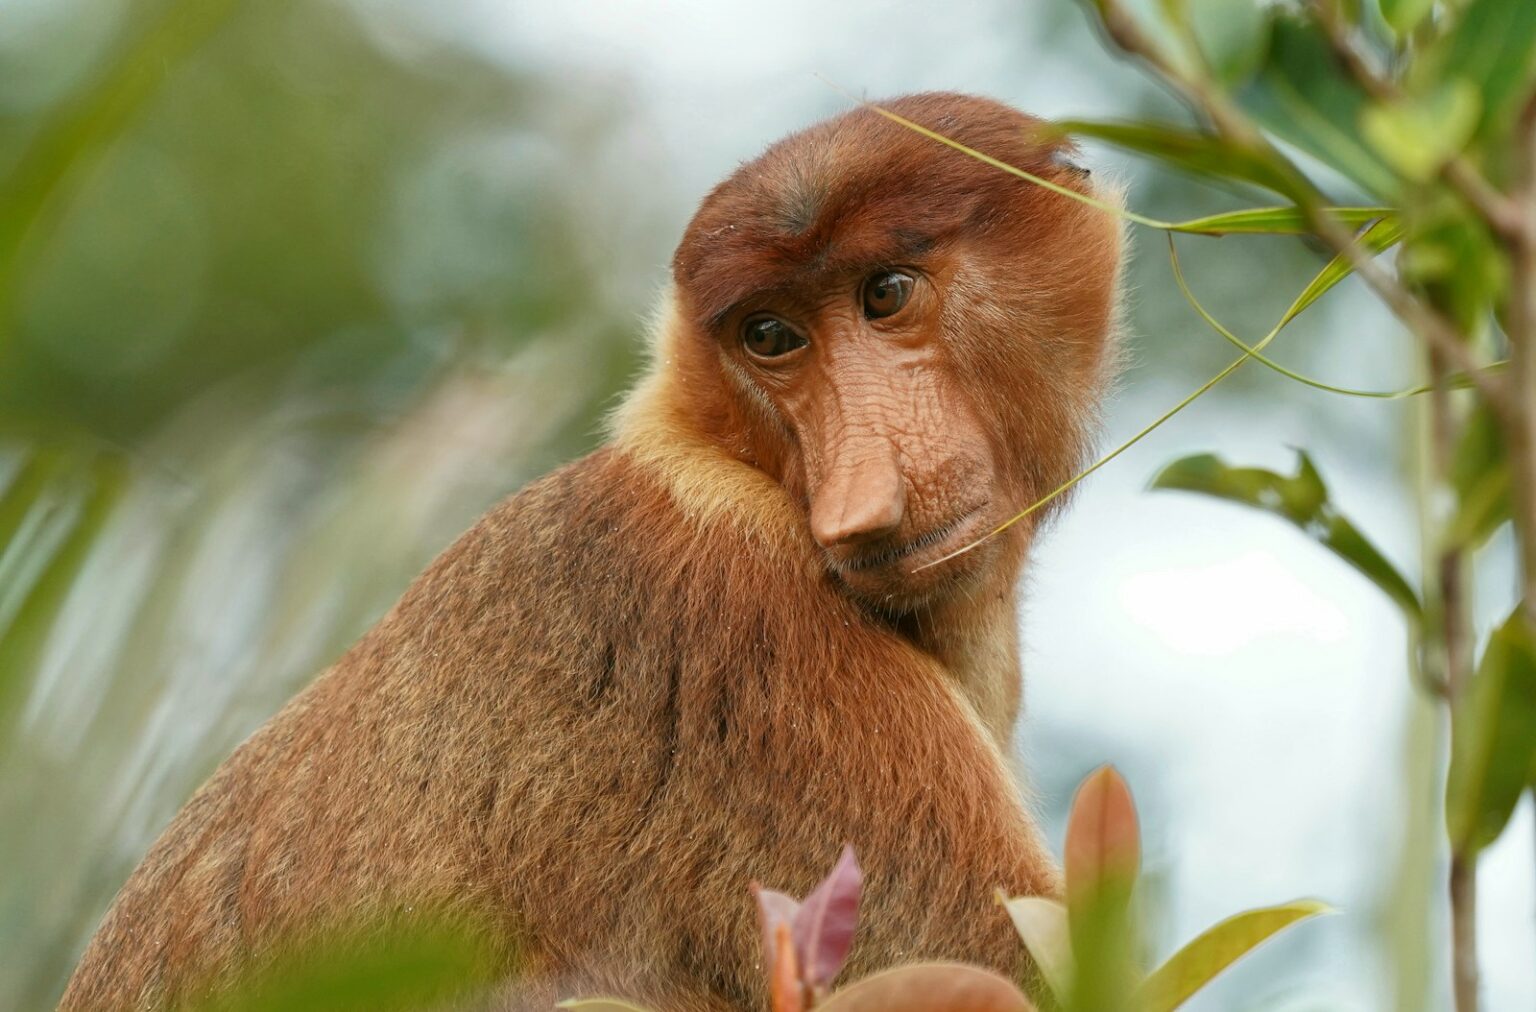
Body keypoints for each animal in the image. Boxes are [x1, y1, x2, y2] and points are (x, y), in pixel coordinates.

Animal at [60, 92, 1122, 1011]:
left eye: (886, 293)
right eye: (771, 335)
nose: (862, 501)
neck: (719, 451)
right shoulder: (737, 621)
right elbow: (980, 973)